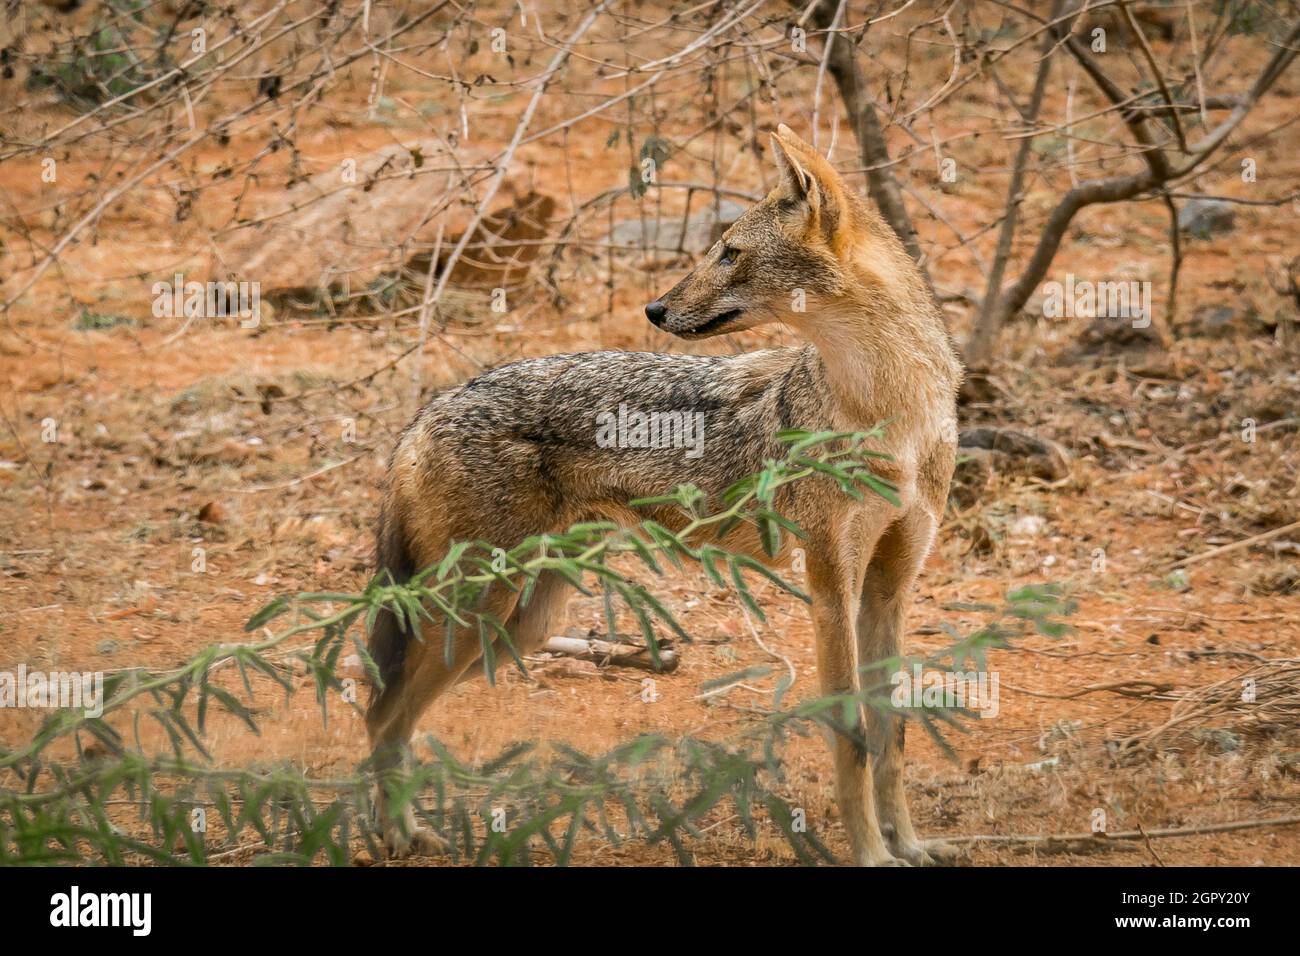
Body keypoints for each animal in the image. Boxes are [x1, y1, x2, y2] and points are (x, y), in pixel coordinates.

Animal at [364, 124, 963, 866]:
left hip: (516, 625)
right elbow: (851, 739)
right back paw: (395, 832)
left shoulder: (889, 586)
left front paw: (907, 845)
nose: (653, 308)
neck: (893, 409)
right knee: (380, 714)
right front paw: (872, 856)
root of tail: (429, 409)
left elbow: (892, 734)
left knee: (389, 712)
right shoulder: (831, 586)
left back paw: (397, 828)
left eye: (731, 253)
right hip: (480, 616)